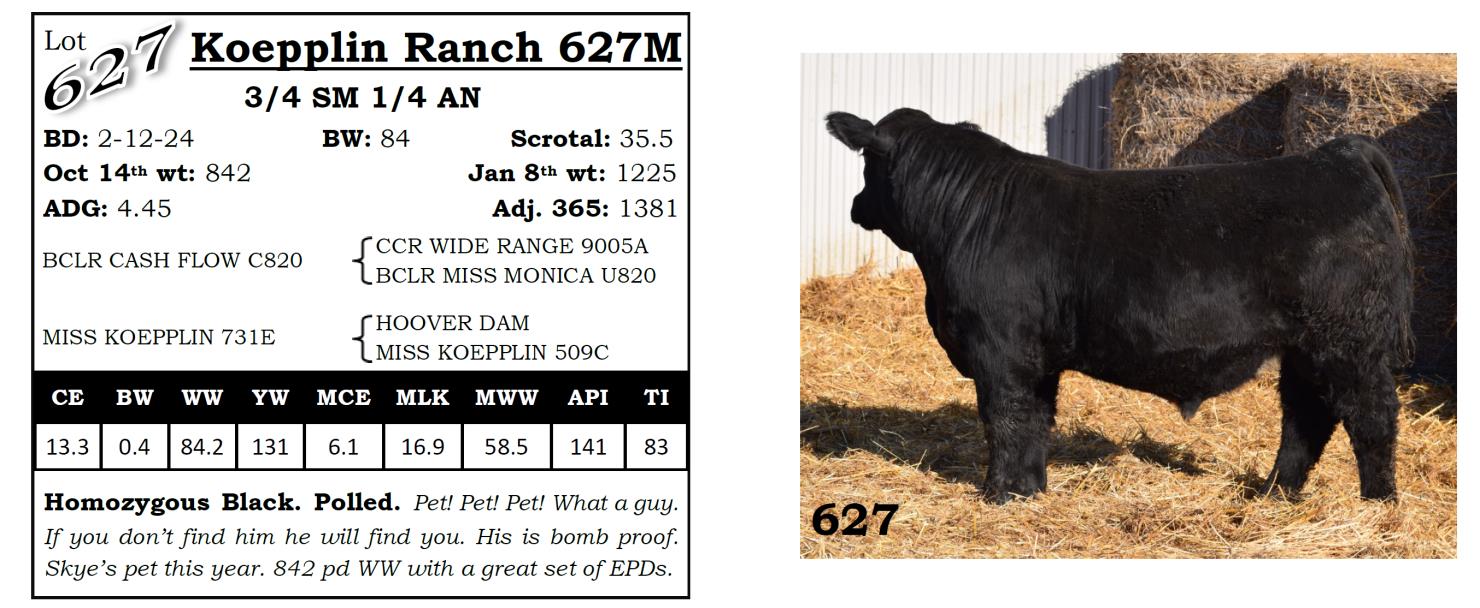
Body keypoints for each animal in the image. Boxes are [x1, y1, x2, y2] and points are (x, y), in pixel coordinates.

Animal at [825, 108, 1414, 503]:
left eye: (866, 164)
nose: (854, 205)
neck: (967, 218)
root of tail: (1336, 154)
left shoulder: (999, 349)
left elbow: (1005, 420)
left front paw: (997, 494)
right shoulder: (1037, 358)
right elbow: (1036, 420)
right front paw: (1030, 490)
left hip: (1347, 342)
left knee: (1371, 414)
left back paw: (1378, 502)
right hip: (1304, 348)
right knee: (1305, 416)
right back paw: (1274, 492)